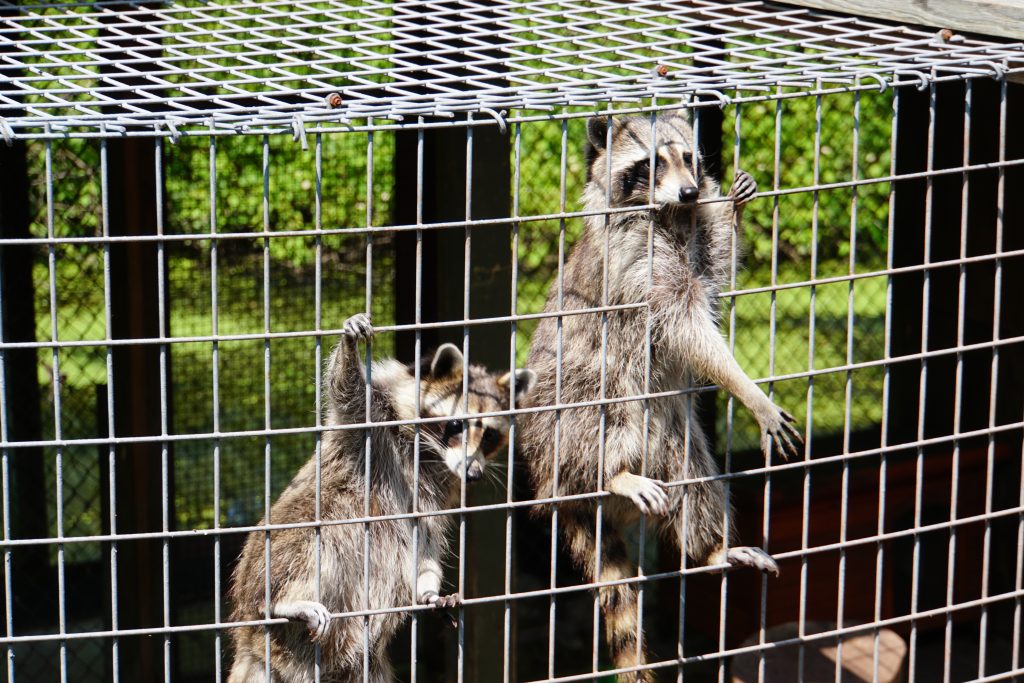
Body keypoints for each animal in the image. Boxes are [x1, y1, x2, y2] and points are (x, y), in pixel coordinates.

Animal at [228, 313, 536, 683]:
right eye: (457, 425)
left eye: (489, 435)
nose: (474, 473)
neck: (425, 452)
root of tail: (253, 649)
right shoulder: (370, 425)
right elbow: (346, 390)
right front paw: (350, 347)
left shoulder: (438, 492)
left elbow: (424, 540)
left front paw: (428, 589)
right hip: (277, 553)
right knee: (307, 544)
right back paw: (278, 601)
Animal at [519, 114, 802, 682]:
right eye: (649, 164)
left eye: (690, 158)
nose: (691, 190)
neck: (670, 215)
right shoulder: (637, 260)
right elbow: (688, 327)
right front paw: (747, 388)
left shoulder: (690, 241)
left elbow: (715, 269)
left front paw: (733, 211)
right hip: (569, 417)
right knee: (604, 414)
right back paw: (611, 474)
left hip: (676, 442)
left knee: (697, 483)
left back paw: (712, 551)